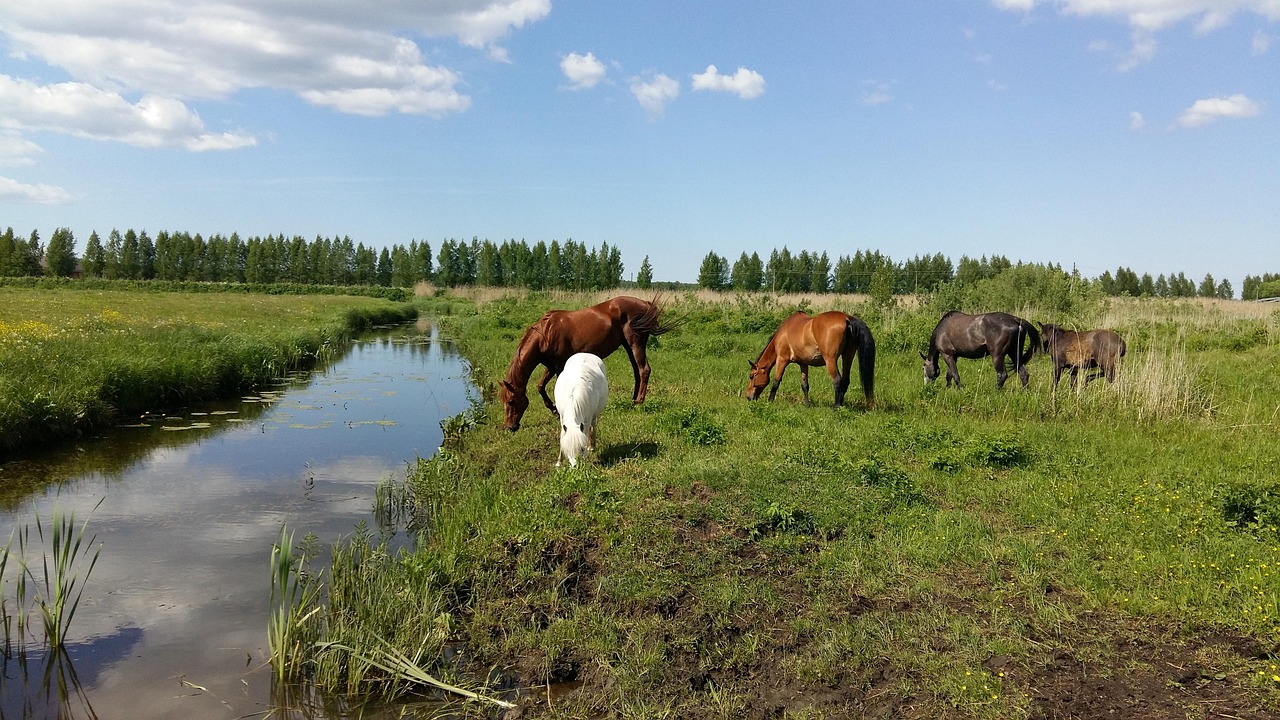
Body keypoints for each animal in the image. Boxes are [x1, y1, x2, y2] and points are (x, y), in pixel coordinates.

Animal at [499, 296, 677, 432]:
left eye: (511, 401)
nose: (510, 427)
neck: (546, 333)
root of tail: (646, 303)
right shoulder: (551, 366)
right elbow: (540, 386)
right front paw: (554, 410)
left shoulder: (559, 366)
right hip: (628, 346)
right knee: (637, 372)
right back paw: (633, 400)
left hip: (636, 344)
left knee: (644, 370)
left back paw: (639, 402)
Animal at [745, 311, 876, 408]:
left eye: (752, 376)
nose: (748, 396)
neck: (784, 332)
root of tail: (847, 318)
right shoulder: (803, 363)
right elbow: (805, 385)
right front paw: (807, 405)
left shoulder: (782, 359)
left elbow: (776, 381)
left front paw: (770, 401)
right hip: (848, 356)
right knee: (845, 381)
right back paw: (842, 405)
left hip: (831, 360)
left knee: (837, 381)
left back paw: (836, 407)